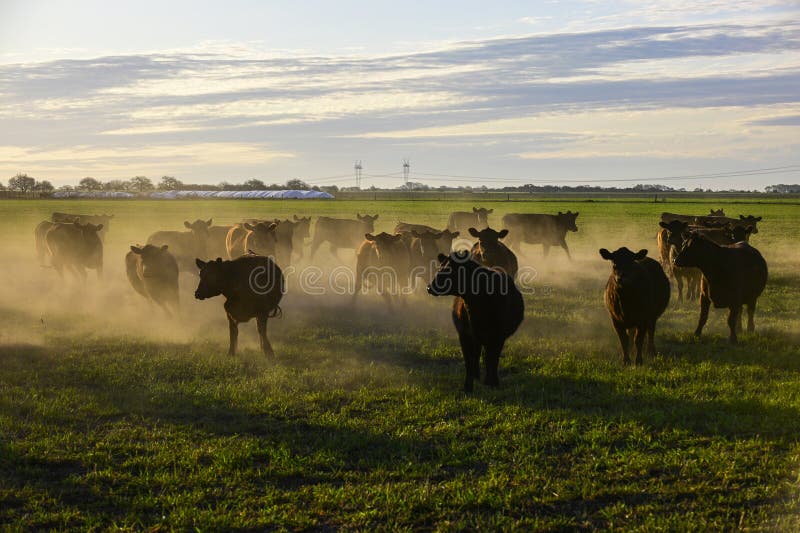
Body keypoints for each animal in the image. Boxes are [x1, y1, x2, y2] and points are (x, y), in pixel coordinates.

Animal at [427, 251, 524, 392]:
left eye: (450, 269)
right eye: (440, 267)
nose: (429, 287)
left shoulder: (498, 336)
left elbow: (492, 359)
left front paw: (492, 382)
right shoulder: (465, 334)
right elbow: (469, 360)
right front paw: (468, 387)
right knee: (477, 354)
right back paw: (477, 375)